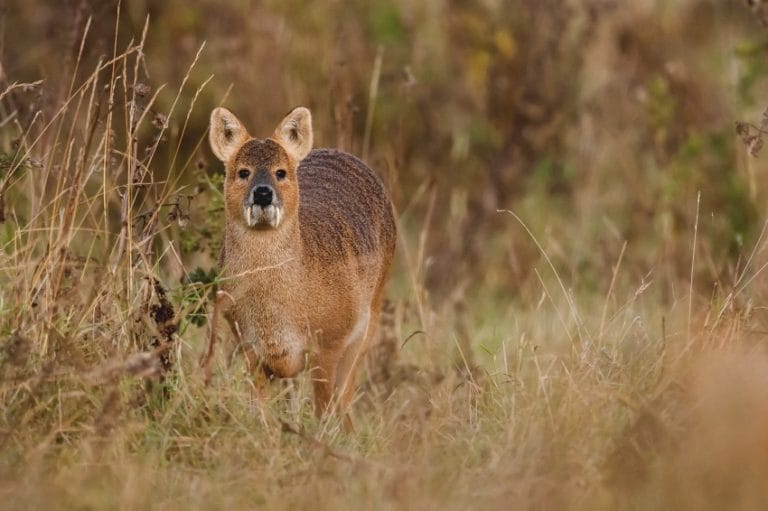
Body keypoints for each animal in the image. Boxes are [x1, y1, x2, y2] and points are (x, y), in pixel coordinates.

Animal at [200, 106, 396, 428]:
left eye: (281, 172)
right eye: (243, 171)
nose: (263, 193)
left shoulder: (330, 341)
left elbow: (324, 409)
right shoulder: (248, 345)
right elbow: (260, 411)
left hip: (370, 319)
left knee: (345, 399)